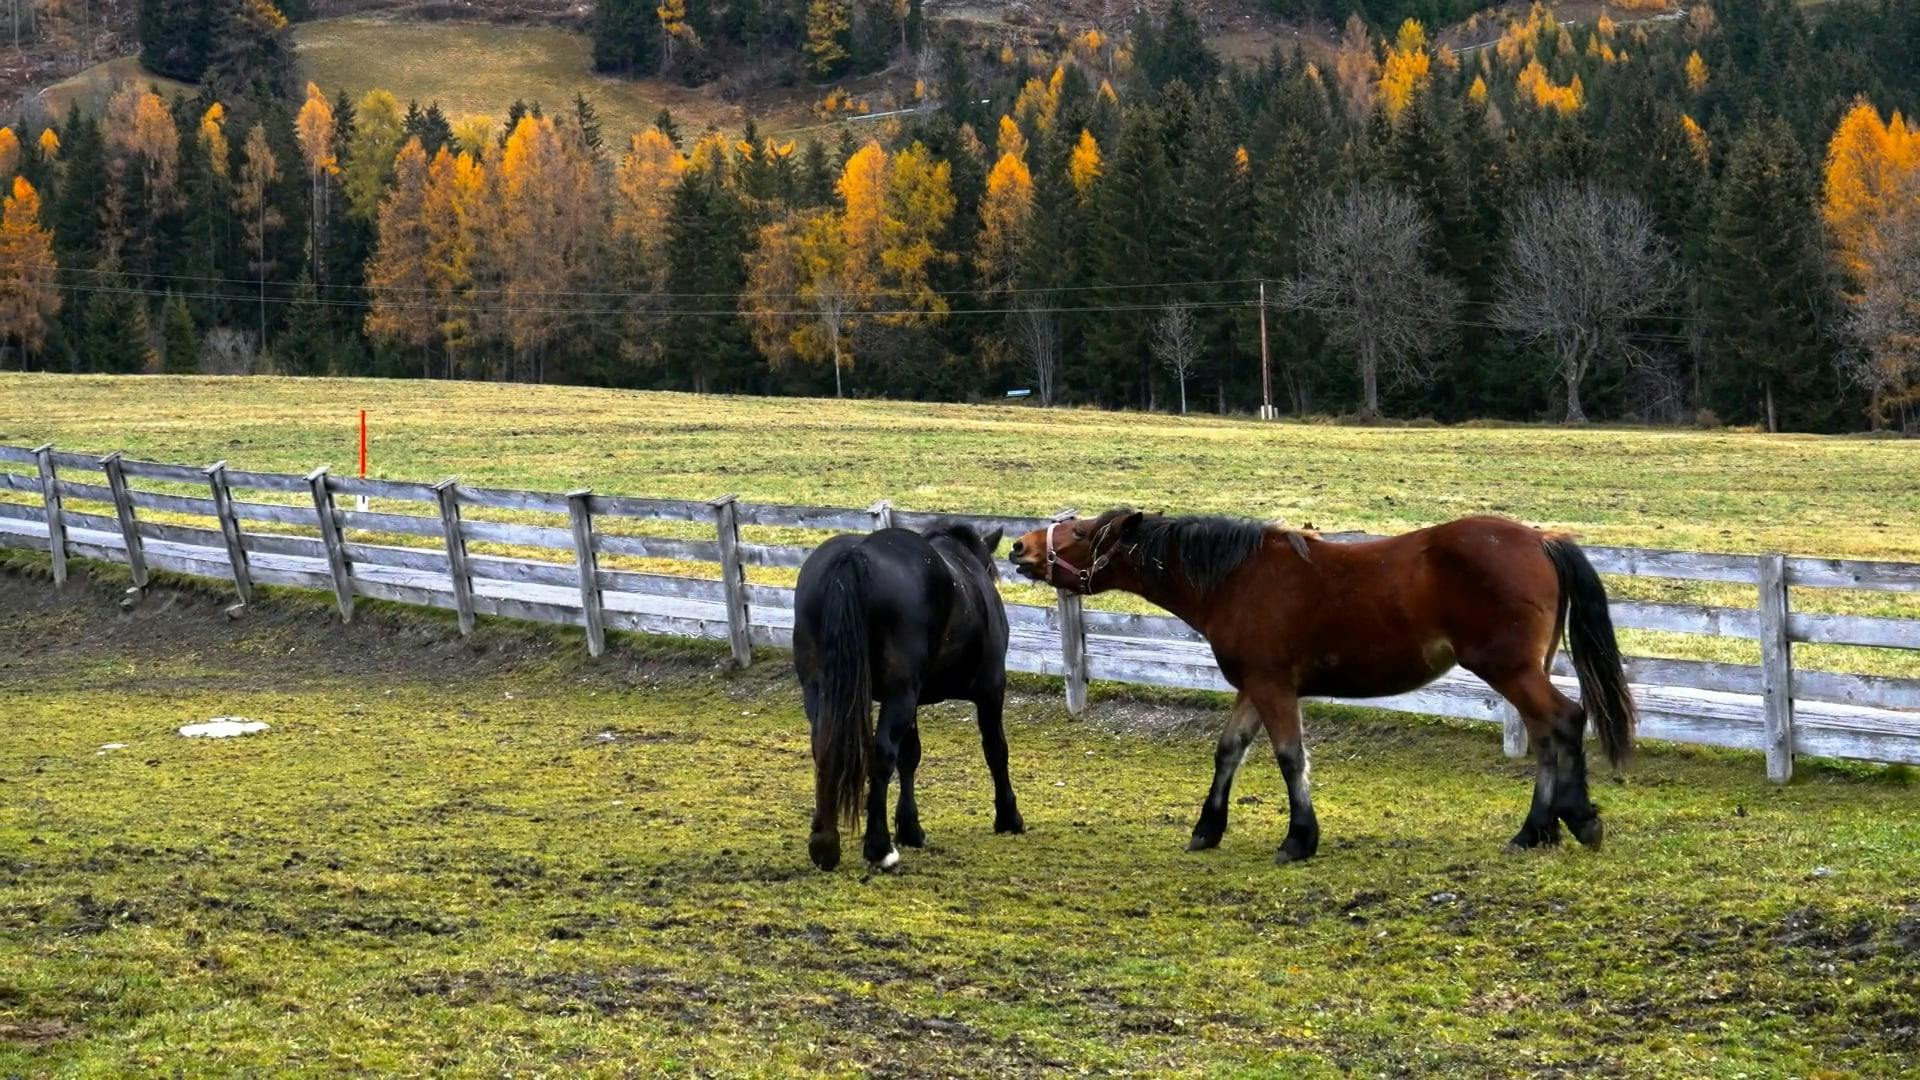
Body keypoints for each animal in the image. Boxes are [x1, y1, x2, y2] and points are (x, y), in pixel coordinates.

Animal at [793, 521, 1025, 872]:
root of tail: (853, 556)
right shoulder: (991, 688)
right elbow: (996, 749)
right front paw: (1009, 817)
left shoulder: (913, 699)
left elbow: (910, 756)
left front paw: (910, 828)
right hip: (899, 692)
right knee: (881, 754)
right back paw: (879, 848)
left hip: (822, 689)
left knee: (825, 745)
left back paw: (825, 845)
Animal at [1008, 510, 1635, 862]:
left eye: (1082, 532)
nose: (1019, 547)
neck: (1237, 580)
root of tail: (1540, 540)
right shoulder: (1253, 688)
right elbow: (1229, 751)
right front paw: (1207, 829)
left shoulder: (1273, 688)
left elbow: (1290, 757)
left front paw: (1299, 839)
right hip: (1522, 671)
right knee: (1547, 736)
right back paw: (1534, 832)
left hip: (1511, 671)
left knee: (1563, 722)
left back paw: (1578, 819)